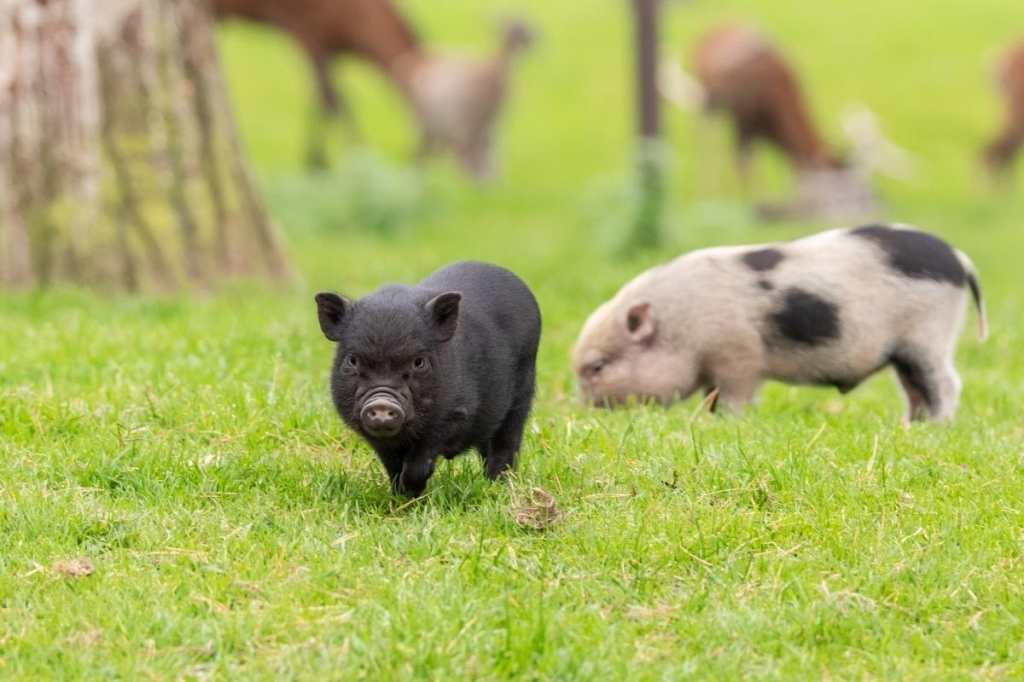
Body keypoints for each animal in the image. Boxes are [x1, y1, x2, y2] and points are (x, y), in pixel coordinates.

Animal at [315, 261, 541, 496]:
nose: (382, 402)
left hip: (523, 391)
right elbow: (392, 465)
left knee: (507, 442)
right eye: (352, 360)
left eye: (419, 362)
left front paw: (411, 490)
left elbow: (422, 457)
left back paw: (498, 486)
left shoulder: (455, 415)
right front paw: (401, 495)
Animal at [572, 224, 987, 422]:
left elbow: (734, 396)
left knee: (946, 382)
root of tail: (958, 258)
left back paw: (938, 426)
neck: (682, 326)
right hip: (906, 352)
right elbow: (712, 395)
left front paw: (723, 421)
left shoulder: (738, 356)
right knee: (916, 389)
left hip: (929, 336)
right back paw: (912, 425)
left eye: (597, 367)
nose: (586, 410)